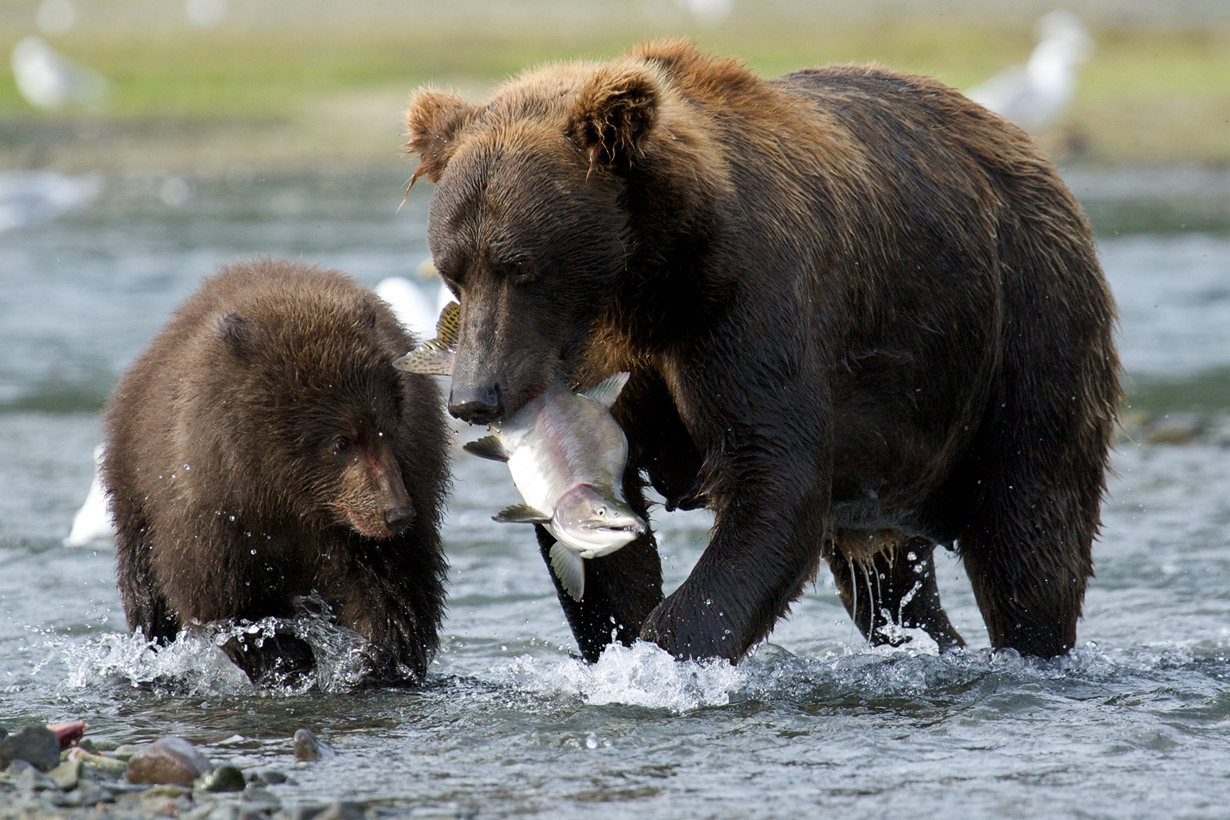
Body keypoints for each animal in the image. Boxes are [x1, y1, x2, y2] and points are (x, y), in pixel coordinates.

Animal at [102, 258, 450, 687]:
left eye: (387, 428)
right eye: (341, 442)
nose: (396, 513)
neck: (288, 495)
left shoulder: (382, 507)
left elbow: (393, 593)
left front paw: (373, 661)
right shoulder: (214, 506)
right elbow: (224, 600)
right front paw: (288, 661)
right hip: (134, 486)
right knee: (145, 588)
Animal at [401, 40, 1121, 663]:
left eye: (519, 266)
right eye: (455, 269)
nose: (475, 397)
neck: (645, 280)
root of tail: (1026, 149)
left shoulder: (748, 305)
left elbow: (773, 482)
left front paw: (668, 647)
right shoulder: (606, 362)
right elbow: (616, 550)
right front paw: (622, 639)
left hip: (1022, 324)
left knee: (1030, 528)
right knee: (890, 591)